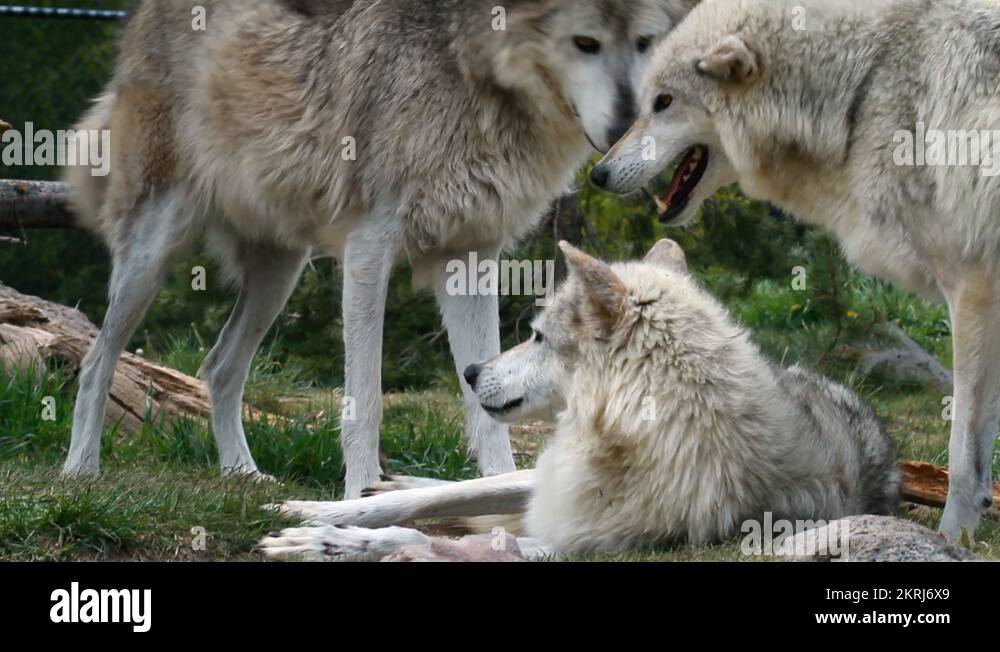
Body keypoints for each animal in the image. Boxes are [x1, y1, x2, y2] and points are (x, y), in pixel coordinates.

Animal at [61, 0, 697, 497]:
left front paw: (498, 494)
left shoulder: (470, 258)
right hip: (155, 251)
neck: (469, 73)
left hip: (281, 273)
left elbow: (487, 404)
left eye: (645, 43)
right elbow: (364, 401)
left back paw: (243, 474)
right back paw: (80, 471)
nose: (626, 129)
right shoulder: (370, 248)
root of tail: (138, 18)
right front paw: (361, 494)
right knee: (97, 357)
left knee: (218, 366)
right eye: (585, 43)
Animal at [255, 240, 900, 560]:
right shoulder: (553, 485)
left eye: (539, 337)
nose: (469, 370)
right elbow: (421, 505)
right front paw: (309, 512)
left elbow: (417, 536)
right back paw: (391, 482)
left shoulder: (574, 545)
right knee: (477, 485)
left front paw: (324, 544)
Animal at [589, 0, 1000, 538]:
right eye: (650, 102)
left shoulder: (971, 288)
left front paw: (952, 536)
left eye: (664, 102)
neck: (864, 86)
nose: (597, 173)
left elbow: (964, 452)